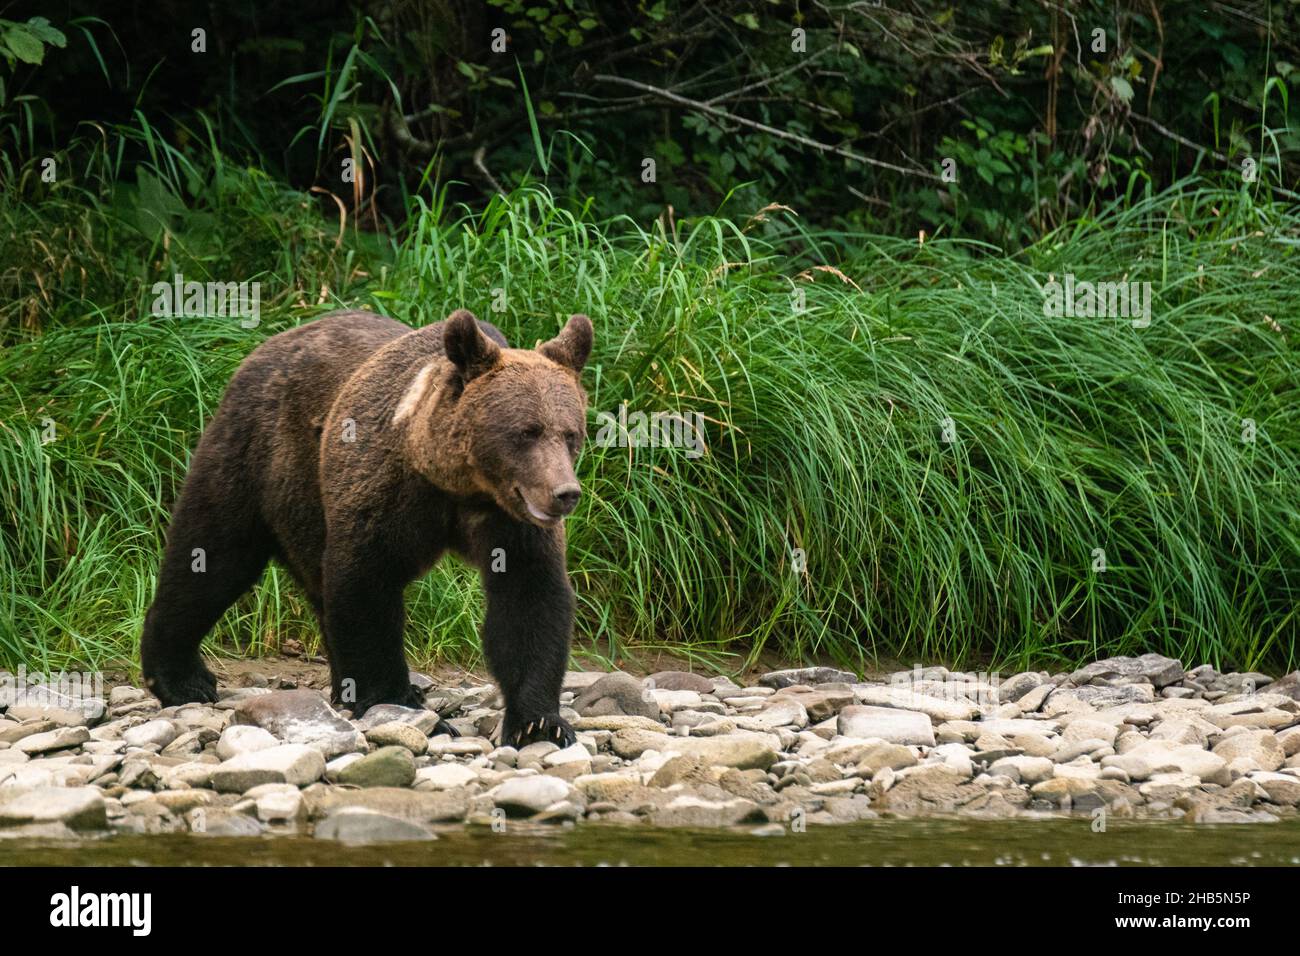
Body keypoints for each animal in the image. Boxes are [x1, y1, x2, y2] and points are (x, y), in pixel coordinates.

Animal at [139, 308, 593, 748]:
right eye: (526, 432)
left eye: (571, 433)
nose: (565, 493)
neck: (457, 484)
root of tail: (271, 342)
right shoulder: (384, 489)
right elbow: (366, 583)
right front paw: (397, 701)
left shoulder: (510, 520)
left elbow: (529, 598)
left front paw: (539, 722)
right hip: (256, 451)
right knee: (211, 554)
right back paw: (181, 678)